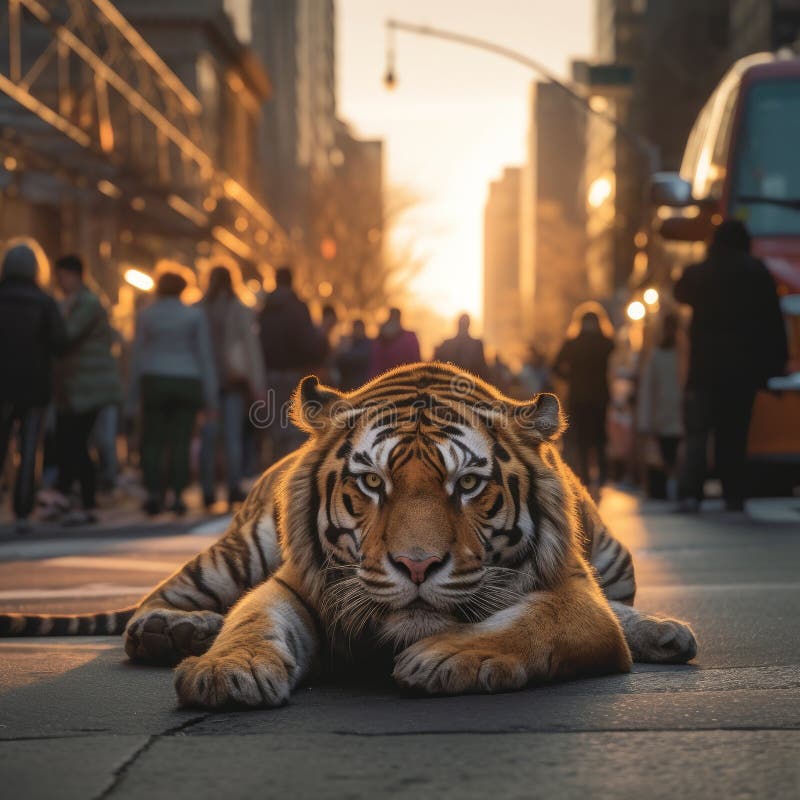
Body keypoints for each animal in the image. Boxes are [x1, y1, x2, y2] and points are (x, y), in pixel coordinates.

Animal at [0, 362, 696, 708]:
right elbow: (255, 621)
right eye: (372, 483)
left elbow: (531, 624)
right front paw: (227, 670)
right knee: (154, 602)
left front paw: (447, 658)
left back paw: (666, 633)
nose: (417, 566)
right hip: (242, 548)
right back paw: (178, 630)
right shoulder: (290, 583)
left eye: (468, 485)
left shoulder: (578, 598)